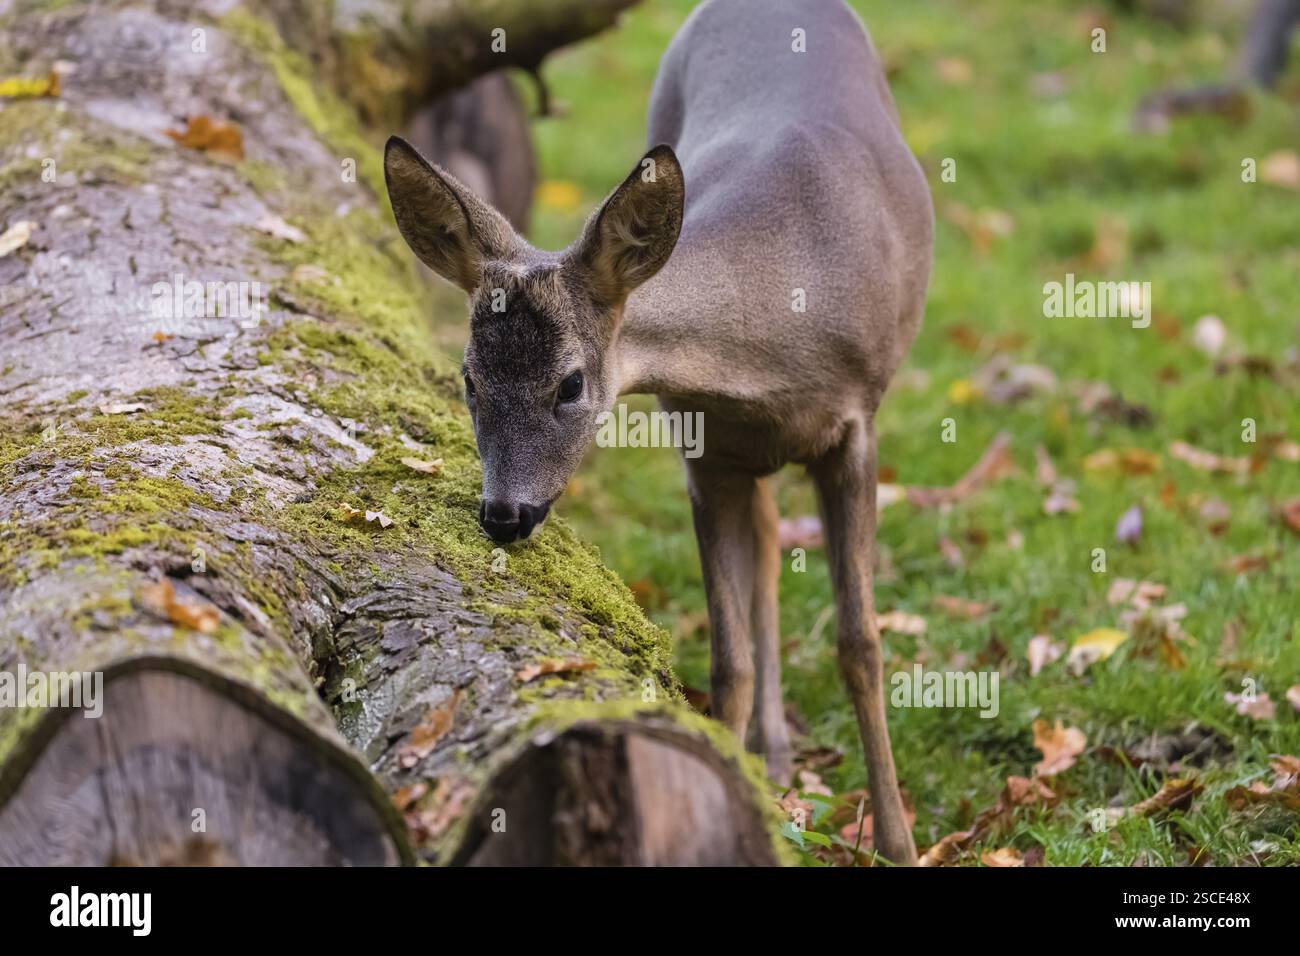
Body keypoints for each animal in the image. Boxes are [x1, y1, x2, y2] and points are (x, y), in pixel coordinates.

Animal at [384, 0, 933, 865]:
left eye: (571, 383)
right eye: (467, 379)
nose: (503, 514)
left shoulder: (857, 427)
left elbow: (861, 644)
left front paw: (900, 842)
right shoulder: (702, 446)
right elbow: (728, 661)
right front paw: (743, 789)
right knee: (769, 542)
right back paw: (775, 753)